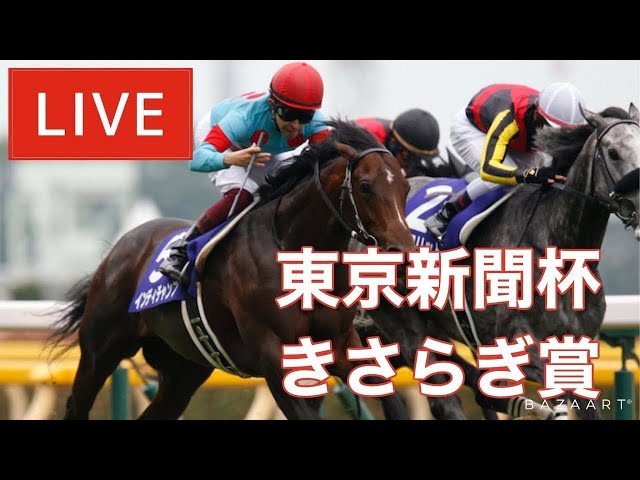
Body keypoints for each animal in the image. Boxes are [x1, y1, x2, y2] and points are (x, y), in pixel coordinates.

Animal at [47, 119, 417, 420]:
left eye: (405, 188)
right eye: (365, 186)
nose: (402, 252)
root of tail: (120, 247)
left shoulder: (340, 343)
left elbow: (393, 403)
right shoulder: (275, 357)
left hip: (184, 369)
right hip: (101, 350)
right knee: (77, 404)